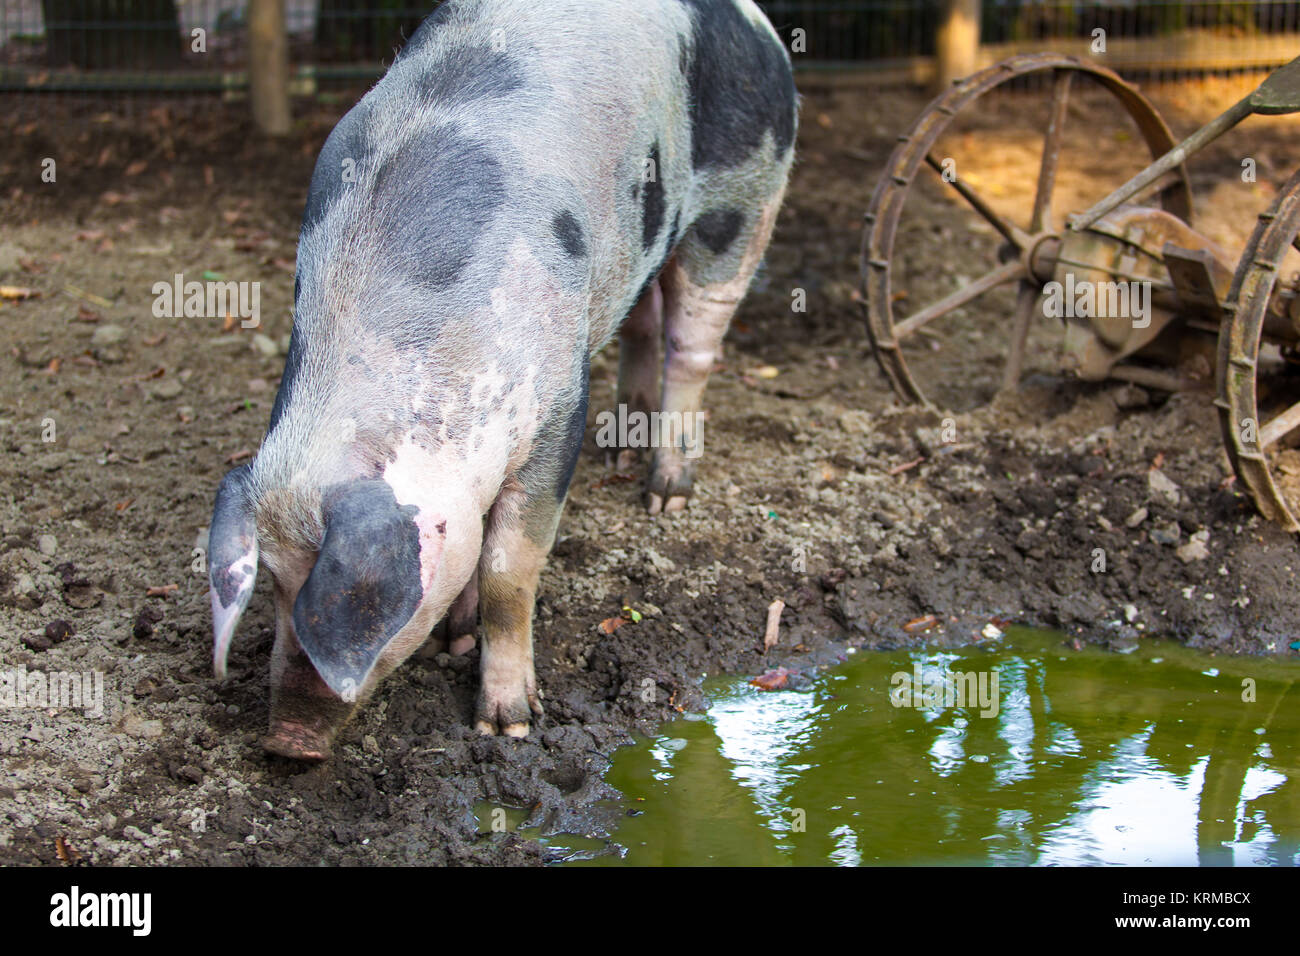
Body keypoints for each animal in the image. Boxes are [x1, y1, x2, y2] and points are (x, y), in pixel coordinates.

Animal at [207, 0, 796, 759]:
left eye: (344, 597)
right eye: (273, 585)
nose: (286, 744)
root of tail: (755, 20)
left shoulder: (556, 410)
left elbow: (508, 568)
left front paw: (508, 723)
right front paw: (456, 639)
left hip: (747, 198)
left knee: (691, 345)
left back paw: (665, 494)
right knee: (642, 321)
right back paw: (622, 451)